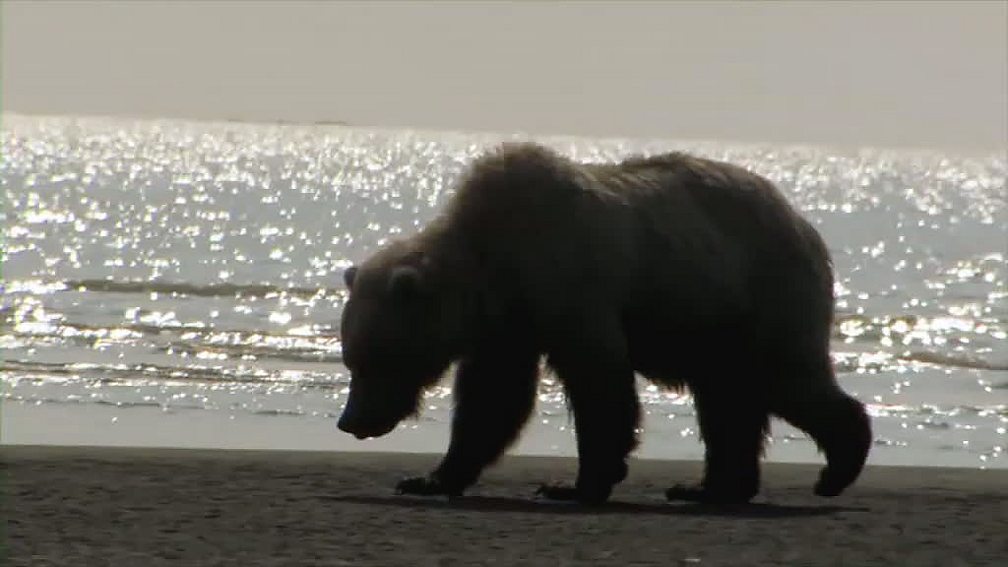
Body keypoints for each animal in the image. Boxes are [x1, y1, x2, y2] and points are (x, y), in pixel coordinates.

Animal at [337, 142, 872, 505]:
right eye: (351, 359)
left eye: (371, 359)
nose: (350, 421)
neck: (495, 266)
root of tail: (802, 220)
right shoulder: (509, 323)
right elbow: (494, 397)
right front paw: (427, 478)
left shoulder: (570, 283)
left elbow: (598, 383)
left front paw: (574, 484)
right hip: (715, 316)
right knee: (729, 399)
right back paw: (708, 488)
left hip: (761, 290)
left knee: (781, 376)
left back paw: (837, 467)